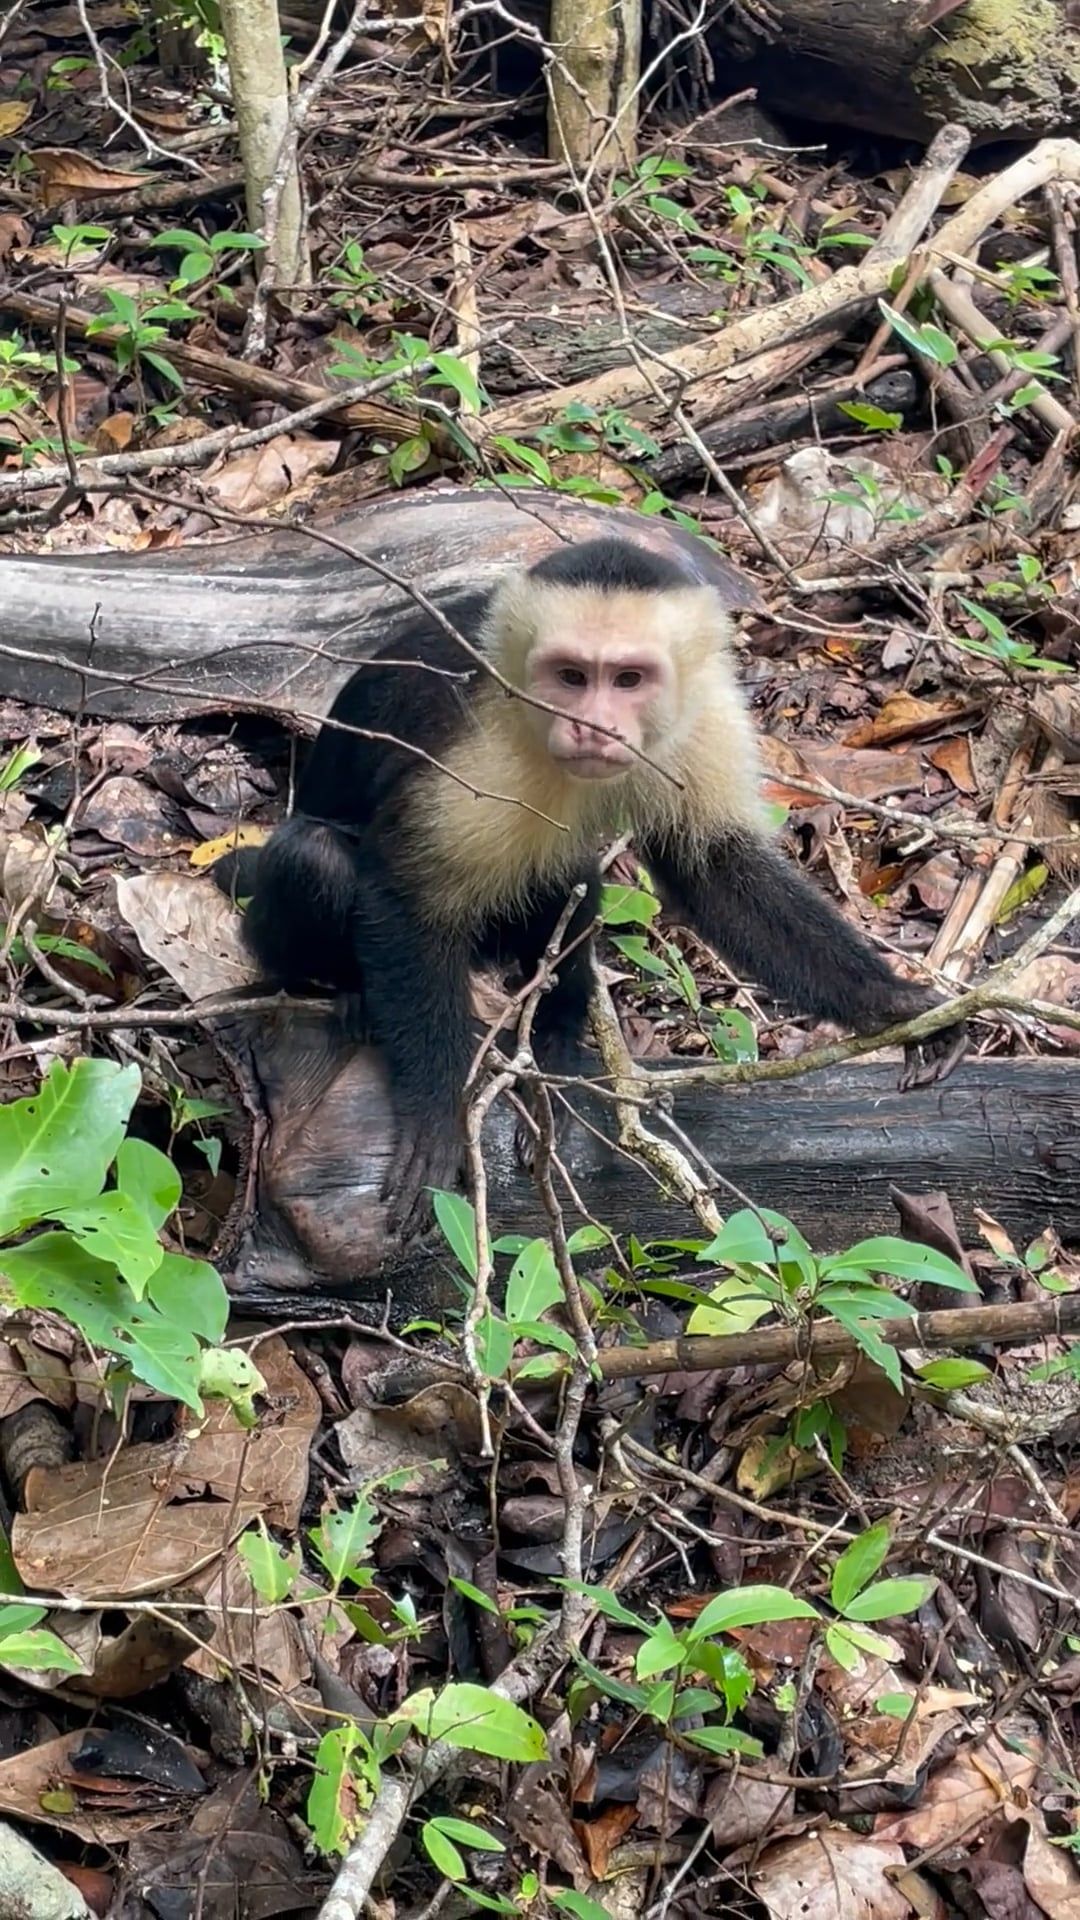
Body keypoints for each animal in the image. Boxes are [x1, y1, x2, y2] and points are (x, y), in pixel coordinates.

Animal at [217, 535, 966, 1240]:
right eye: (571, 677)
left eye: (629, 678)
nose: (591, 725)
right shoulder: (475, 750)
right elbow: (406, 899)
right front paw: (437, 1114)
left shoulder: (703, 715)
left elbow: (714, 871)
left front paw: (895, 1002)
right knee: (315, 860)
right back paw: (344, 992)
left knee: (566, 873)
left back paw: (556, 1042)